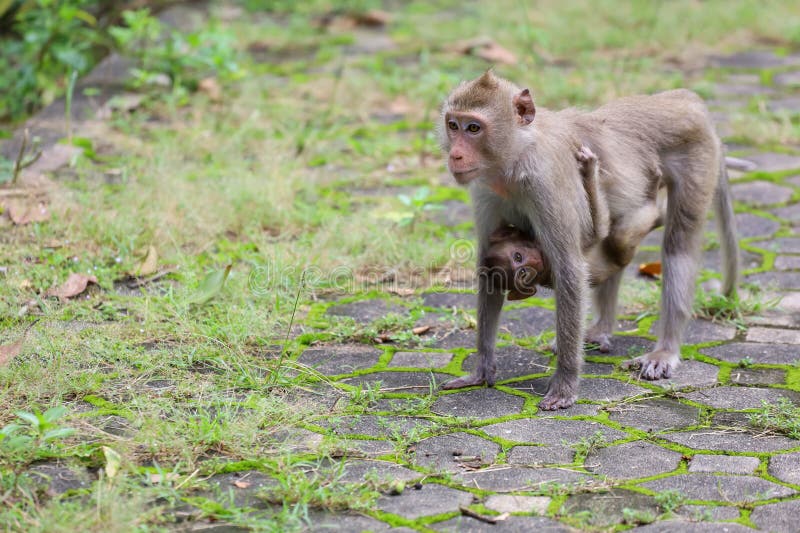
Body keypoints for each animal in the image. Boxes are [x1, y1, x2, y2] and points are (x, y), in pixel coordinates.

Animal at [439, 71, 738, 410]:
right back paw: (602, 329)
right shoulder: (486, 189)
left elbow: (570, 267)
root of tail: (685, 100)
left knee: (678, 243)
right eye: (453, 125)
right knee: (620, 238)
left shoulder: (548, 183)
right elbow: (488, 269)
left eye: (474, 128)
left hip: (696, 153)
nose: (455, 154)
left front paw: (565, 384)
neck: (516, 157)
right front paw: (482, 368)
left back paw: (665, 349)